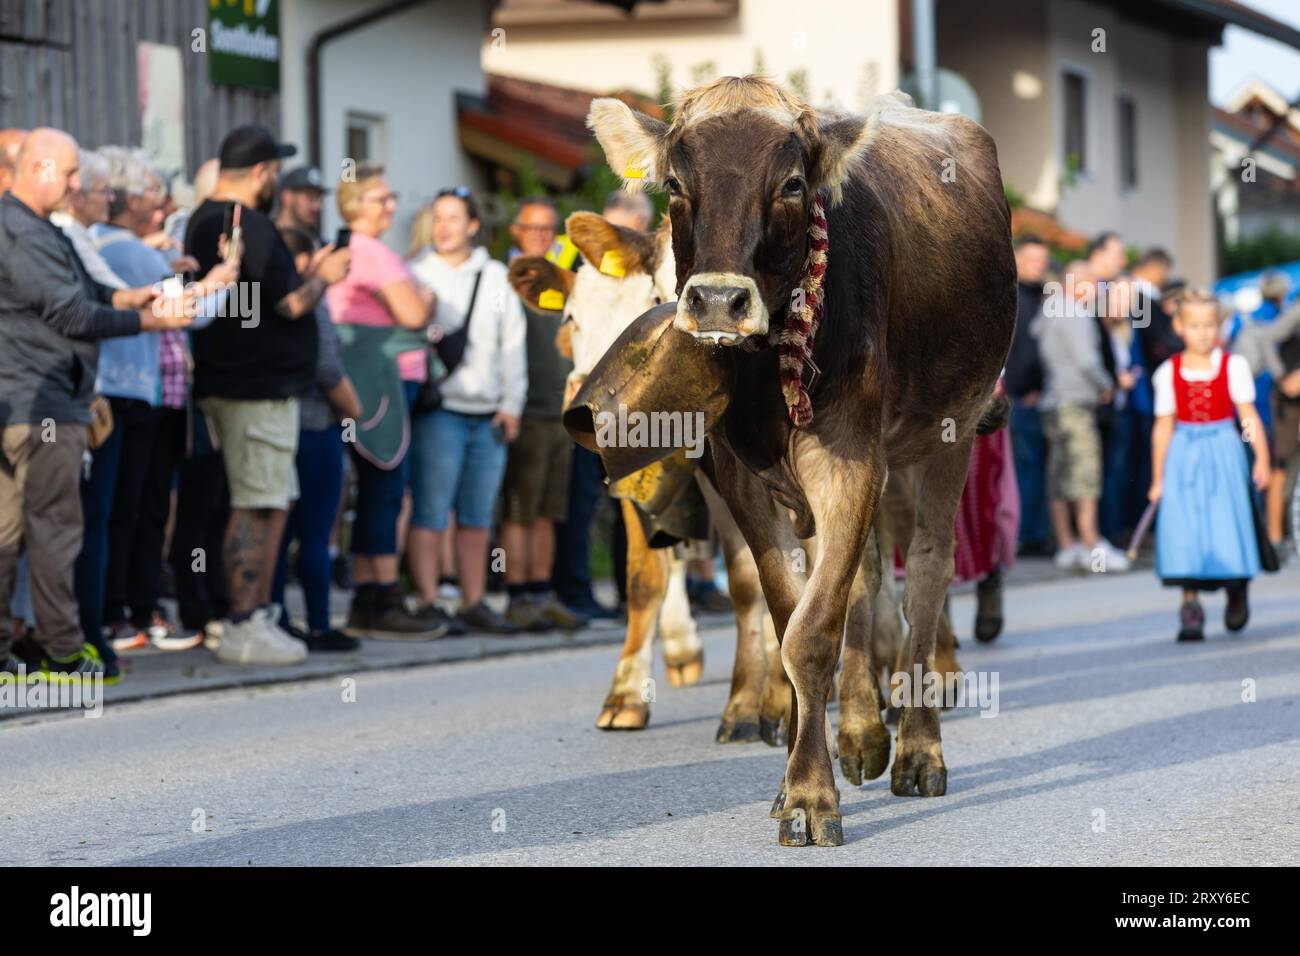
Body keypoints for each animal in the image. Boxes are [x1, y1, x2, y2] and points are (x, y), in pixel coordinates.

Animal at [576, 76, 1016, 845]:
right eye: (674, 184)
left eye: (790, 184)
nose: (717, 300)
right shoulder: (741, 476)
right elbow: (791, 612)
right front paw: (797, 776)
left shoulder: (849, 461)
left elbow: (813, 634)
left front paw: (813, 796)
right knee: (867, 578)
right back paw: (864, 732)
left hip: (948, 435)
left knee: (928, 573)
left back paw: (918, 748)